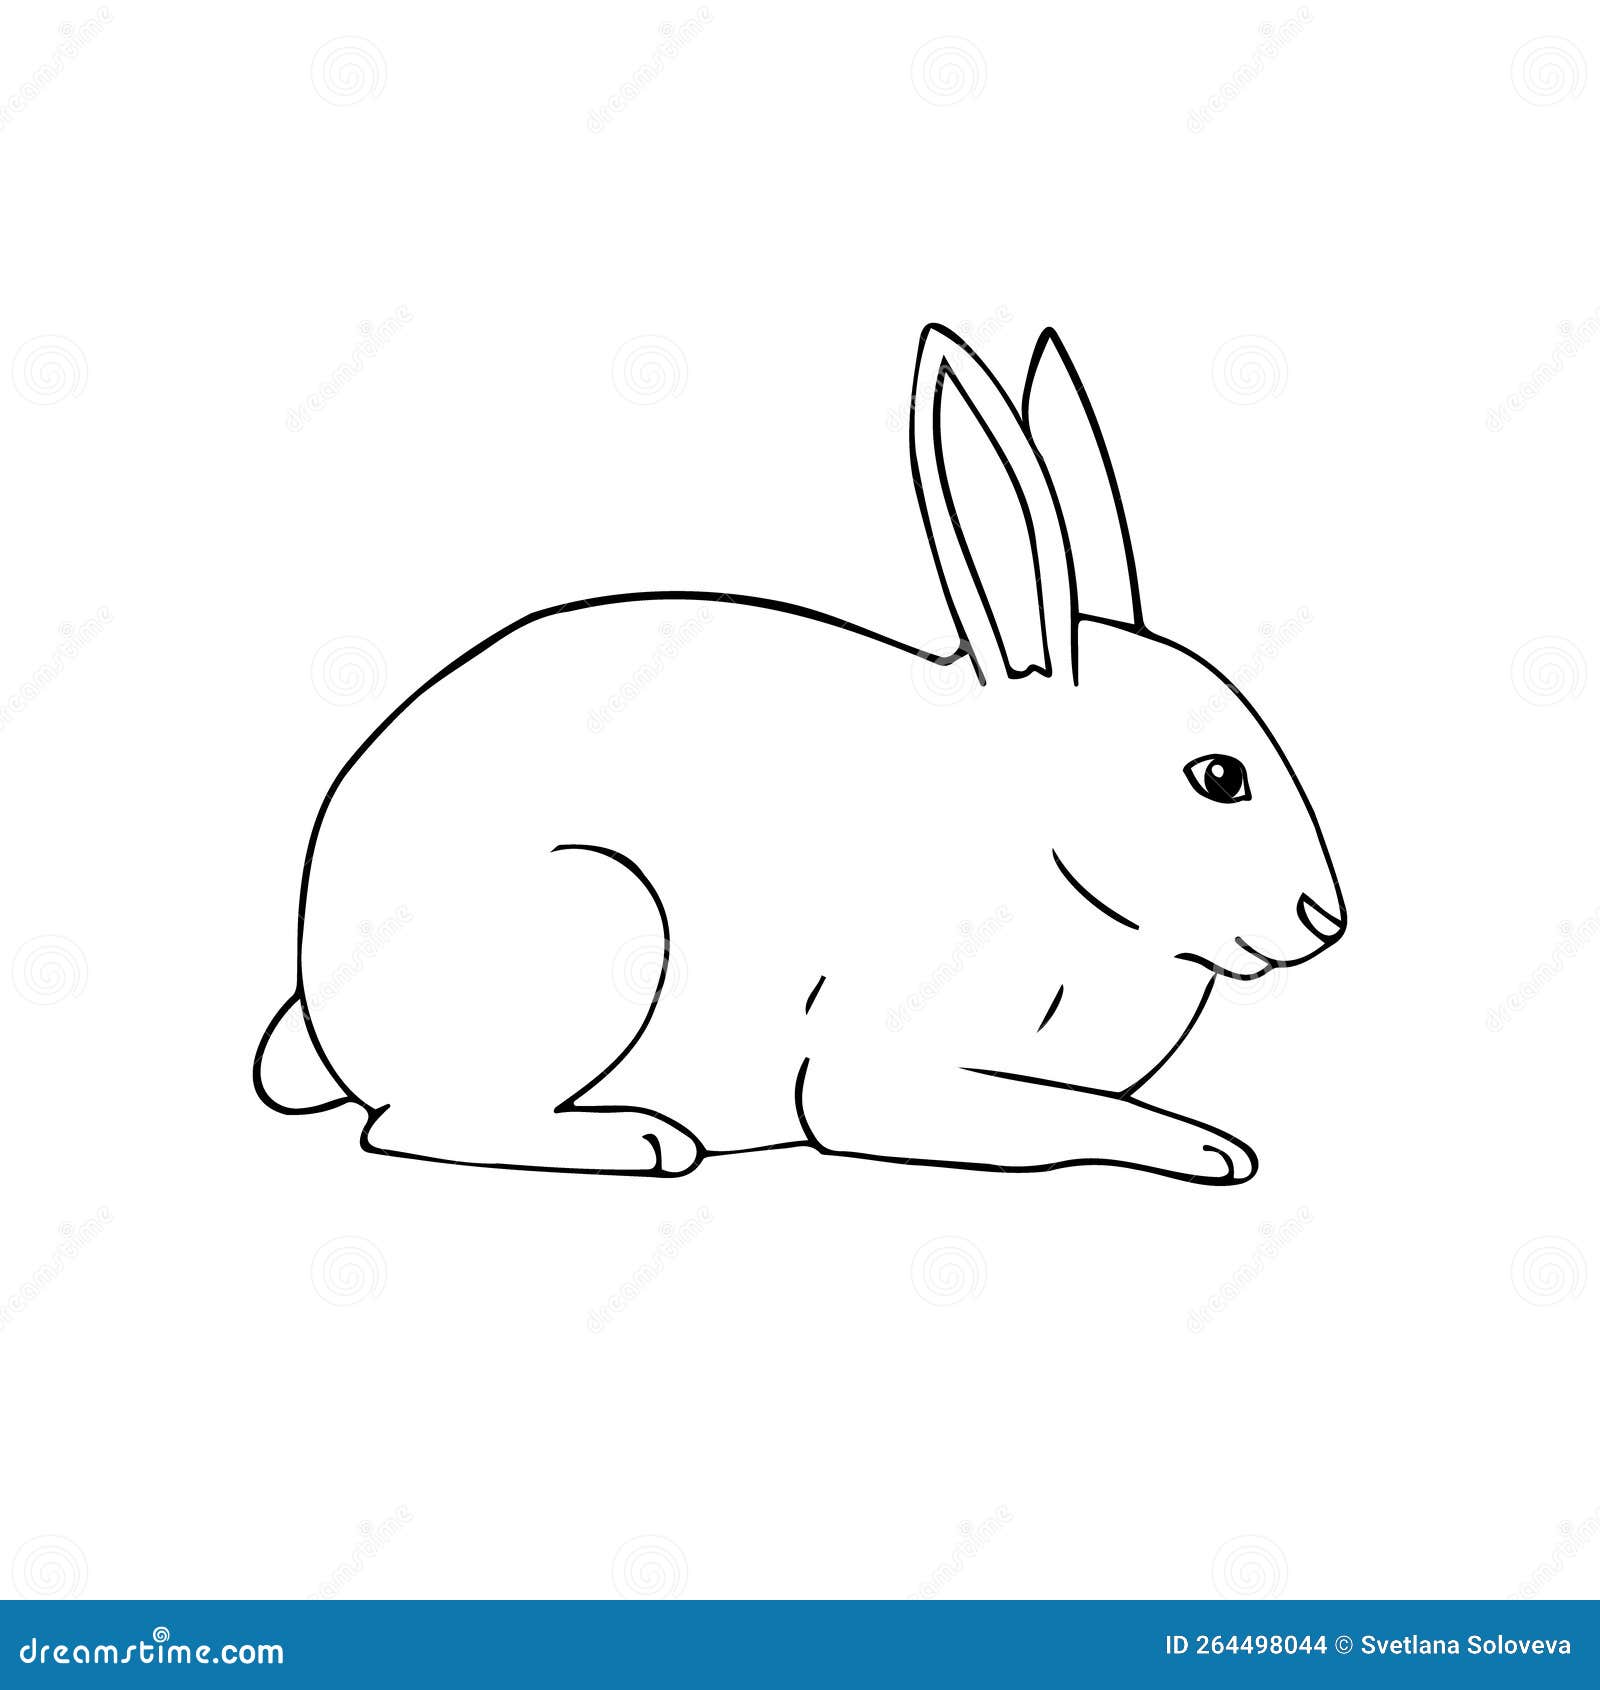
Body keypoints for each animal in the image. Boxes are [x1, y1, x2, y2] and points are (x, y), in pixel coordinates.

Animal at [253, 323, 1345, 1184]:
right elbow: (1067, 1114)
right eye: (1219, 779)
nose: (1326, 921)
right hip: (588, 917)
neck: (1028, 836)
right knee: (415, 1125)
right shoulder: (882, 1079)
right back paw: (641, 1140)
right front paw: (1211, 1148)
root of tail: (322, 986)